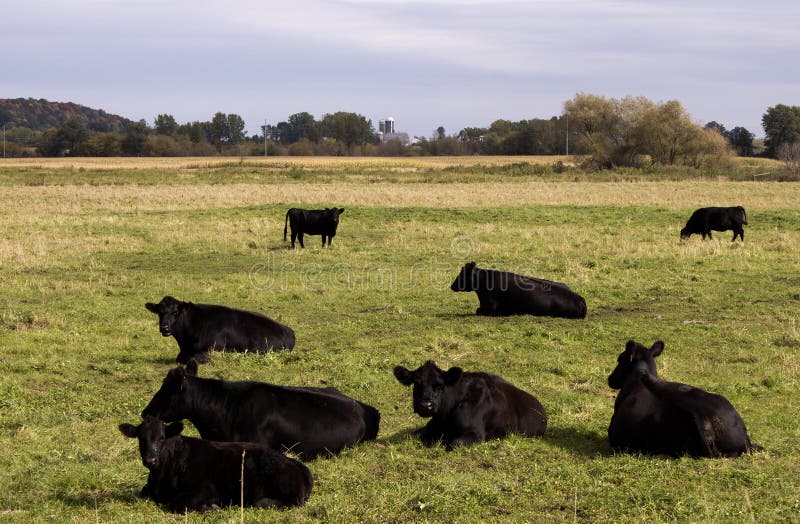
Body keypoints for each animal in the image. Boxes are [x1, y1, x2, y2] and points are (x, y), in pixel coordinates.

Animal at [119, 416, 312, 512]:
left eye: (161, 438)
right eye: (140, 439)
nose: (150, 460)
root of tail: (299, 465)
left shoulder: (204, 489)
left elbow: (176, 503)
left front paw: (209, 506)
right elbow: (144, 492)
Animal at [145, 296, 295, 364]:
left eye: (175, 313)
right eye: (159, 312)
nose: (164, 328)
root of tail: (289, 331)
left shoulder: (213, 350)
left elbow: (193, 359)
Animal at [393, 360, 547, 450]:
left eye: (439, 385)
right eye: (416, 383)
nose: (426, 405)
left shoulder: (476, 434)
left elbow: (454, 443)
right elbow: (413, 435)